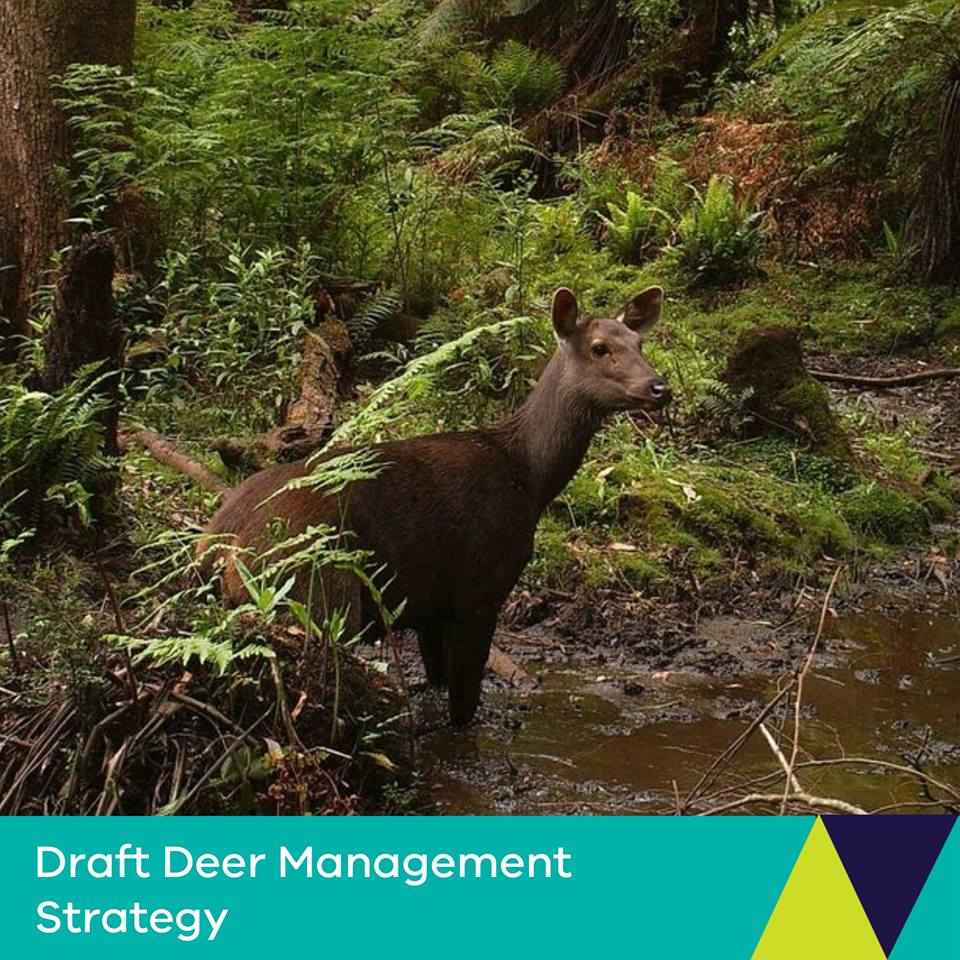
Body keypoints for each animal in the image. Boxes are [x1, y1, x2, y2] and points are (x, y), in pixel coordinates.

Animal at [198, 286, 671, 725]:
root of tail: (218, 548)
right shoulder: (479, 589)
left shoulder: (429, 607)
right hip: (317, 594)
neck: (530, 478)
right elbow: (462, 713)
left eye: (640, 343)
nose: (659, 387)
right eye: (599, 347)